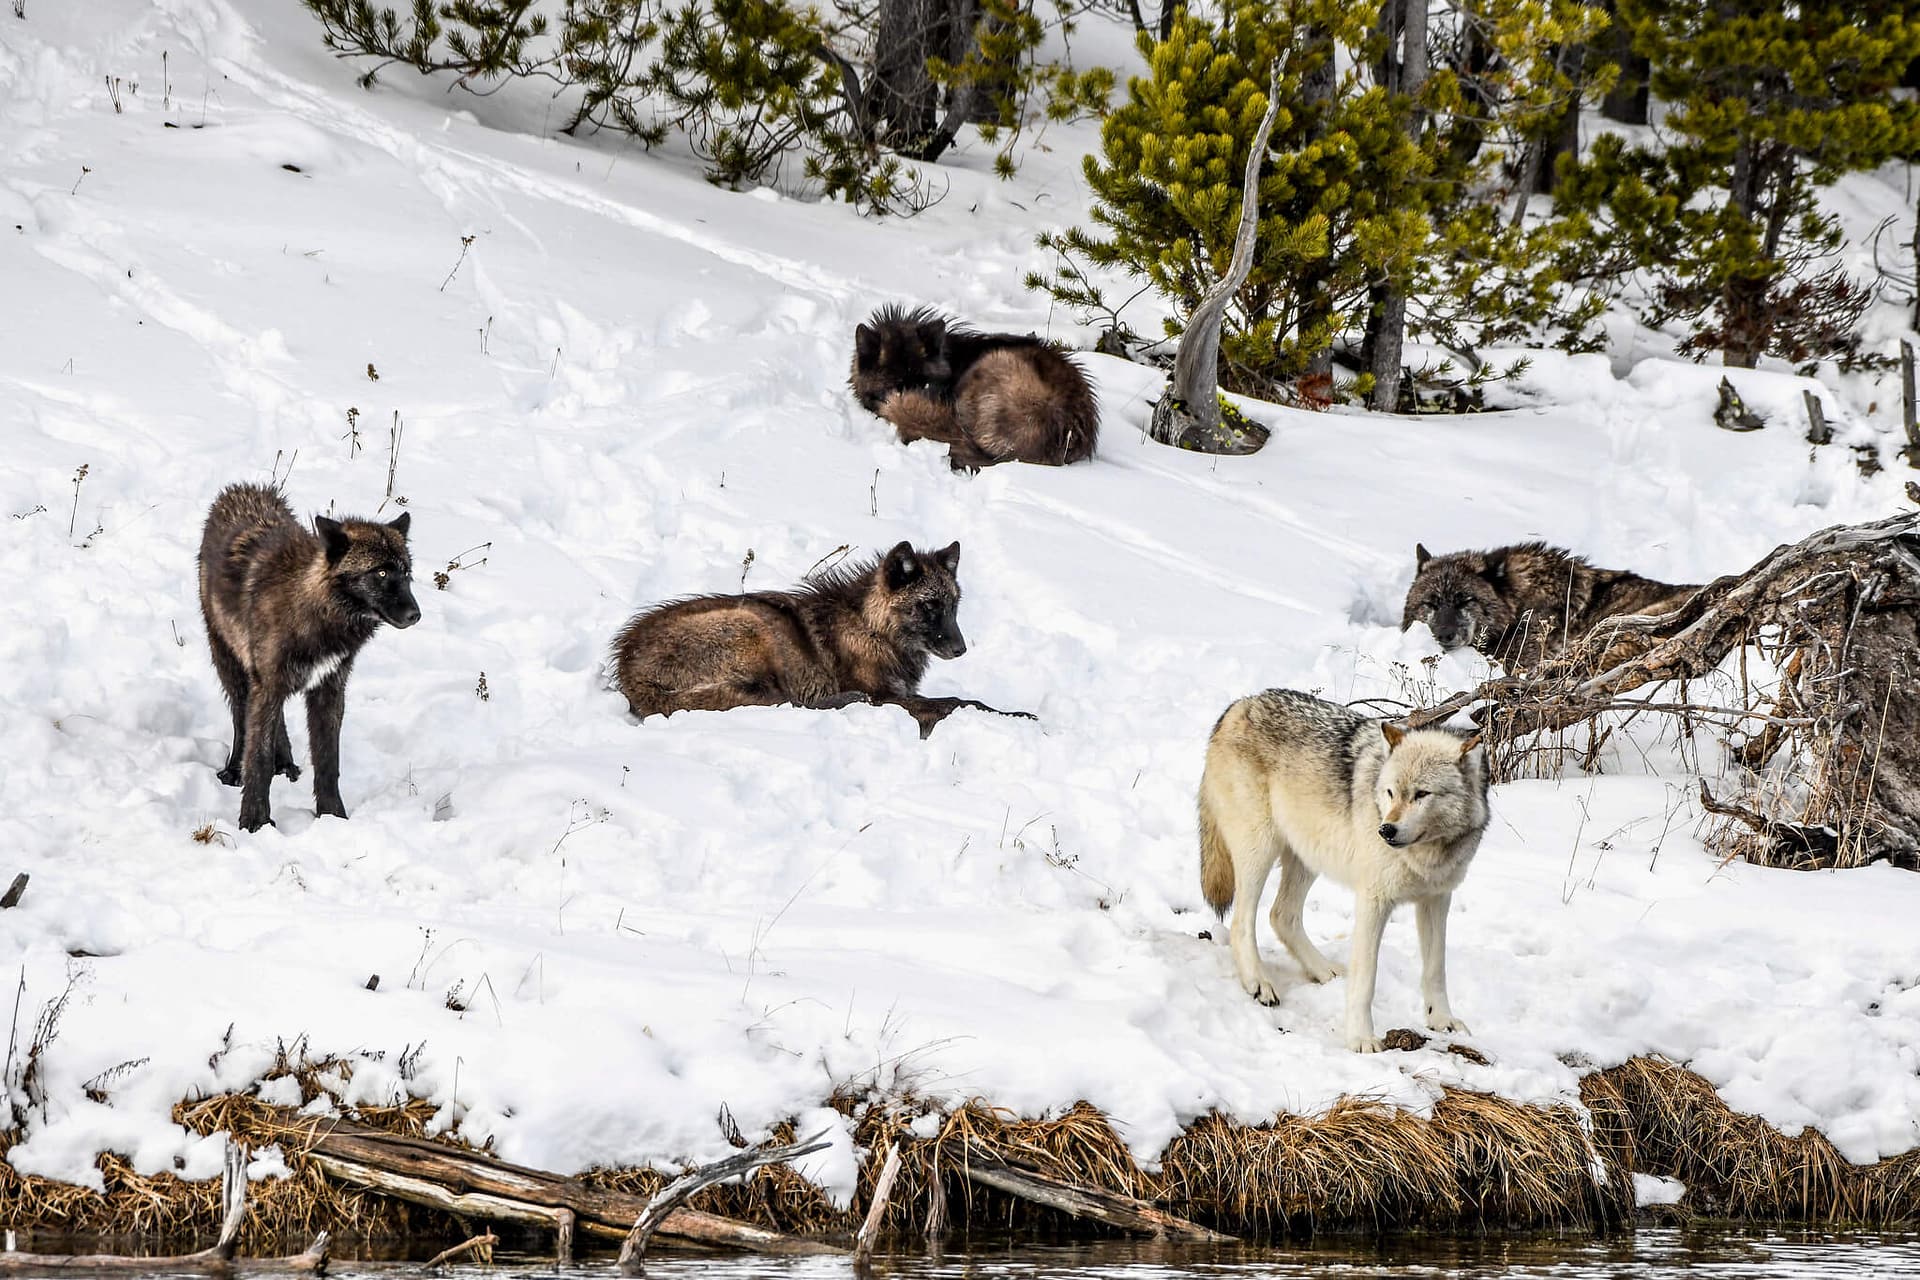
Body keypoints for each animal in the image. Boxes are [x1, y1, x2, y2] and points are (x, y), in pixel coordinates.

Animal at [198, 483, 420, 832]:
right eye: (381, 572)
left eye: (407, 572)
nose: (415, 615)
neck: (317, 612)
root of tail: (240, 488)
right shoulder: (268, 684)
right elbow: (258, 758)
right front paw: (254, 823)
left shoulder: (328, 688)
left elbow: (328, 761)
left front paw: (333, 817)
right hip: (230, 664)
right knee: (240, 715)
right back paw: (234, 770)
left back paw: (286, 763)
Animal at [612, 541, 1029, 738]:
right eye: (929, 606)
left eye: (954, 606)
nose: (960, 649)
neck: (870, 628)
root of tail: (627, 668)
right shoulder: (886, 696)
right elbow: (958, 701)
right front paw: (1019, 716)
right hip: (760, 623)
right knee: (793, 702)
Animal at [1198, 689, 1490, 1053]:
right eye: (1390, 792)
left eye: (1422, 794)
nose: (1385, 830)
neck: (1427, 855)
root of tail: (1240, 703)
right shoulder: (1373, 901)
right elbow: (1366, 979)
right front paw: (1362, 1038)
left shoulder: (1437, 900)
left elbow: (1436, 969)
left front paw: (1443, 1021)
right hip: (1259, 850)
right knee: (1241, 922)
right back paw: (1258, 982)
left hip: (1308, 855)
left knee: (1281, 915)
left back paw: (1323, 971)